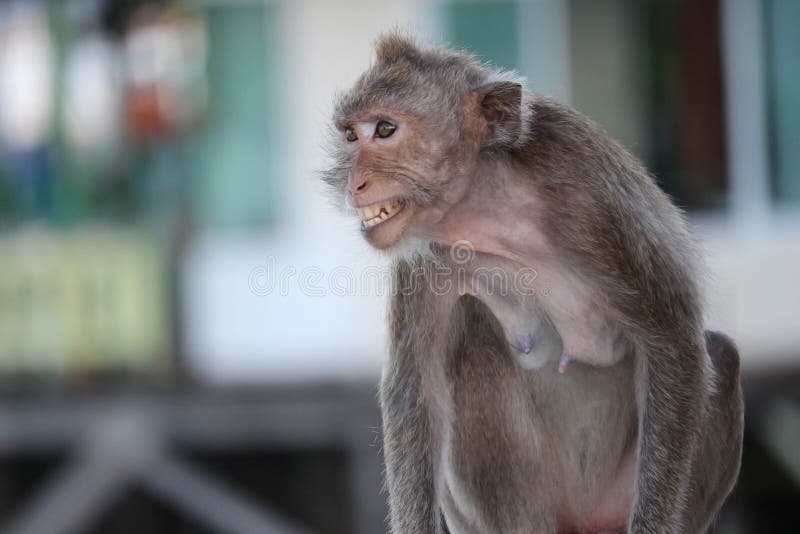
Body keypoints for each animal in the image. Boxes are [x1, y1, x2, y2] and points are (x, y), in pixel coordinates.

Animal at [322, 33, 743, 534]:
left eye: (385, 130)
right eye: (351, 135)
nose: (354, 182)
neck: (489, 205)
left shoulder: (594, 200)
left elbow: (672, 343)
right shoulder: (423, 254)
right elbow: (415, 387)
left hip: (617, 498)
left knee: (720, 356)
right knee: (473, 338)